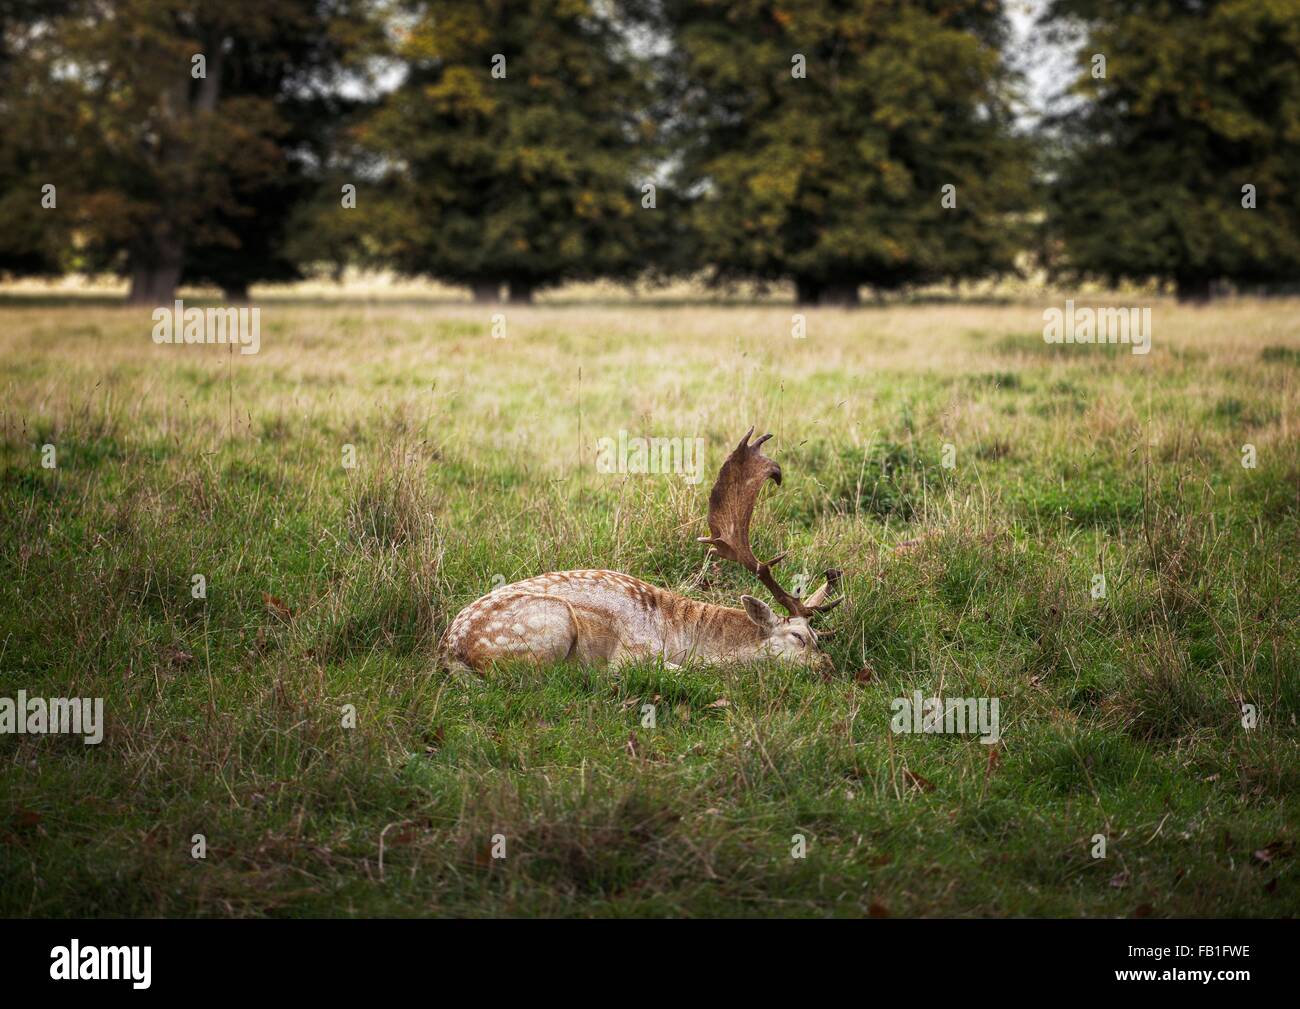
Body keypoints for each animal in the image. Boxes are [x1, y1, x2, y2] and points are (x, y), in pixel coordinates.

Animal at [440, 429, 843, 676]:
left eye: (819, 637)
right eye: (798, 637)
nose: (828, 667)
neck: (682, 638)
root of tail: (450, 652)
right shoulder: (632, 654)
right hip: (552, 623)